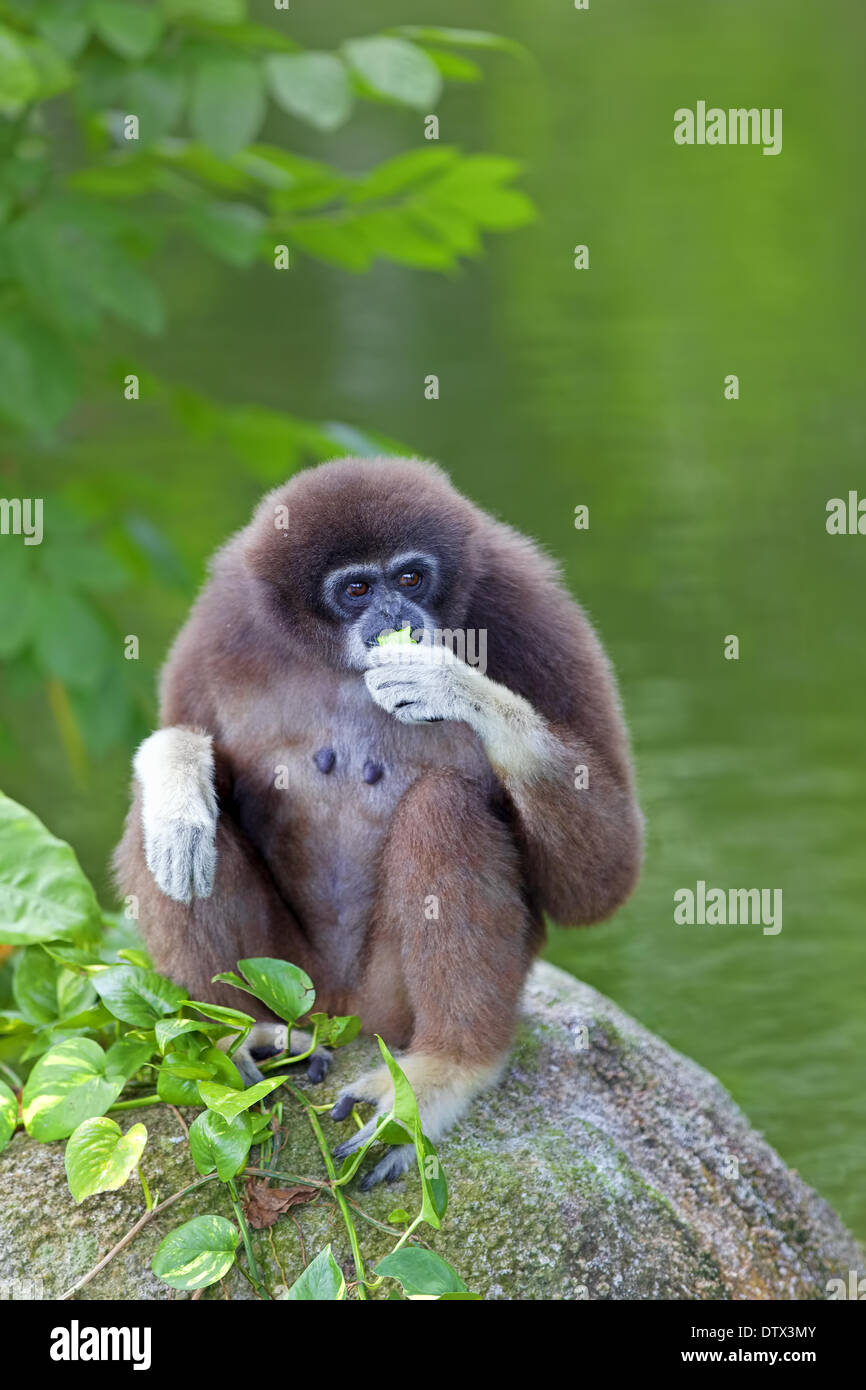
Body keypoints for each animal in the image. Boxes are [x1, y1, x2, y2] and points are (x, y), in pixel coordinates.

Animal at [114, 456, 642, 1188]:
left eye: (411, 578)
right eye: (357, 589)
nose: (396, 616)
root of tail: (344, 1015)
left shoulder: (528, 606)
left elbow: (600, 881)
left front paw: (457, 687)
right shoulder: (221, 621)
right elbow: (184, 756)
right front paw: (177, 774)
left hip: (385, 1004)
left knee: (443, 805)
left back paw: (445, 1069)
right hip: (288, 976)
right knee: (173, 832)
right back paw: (239, 1029)